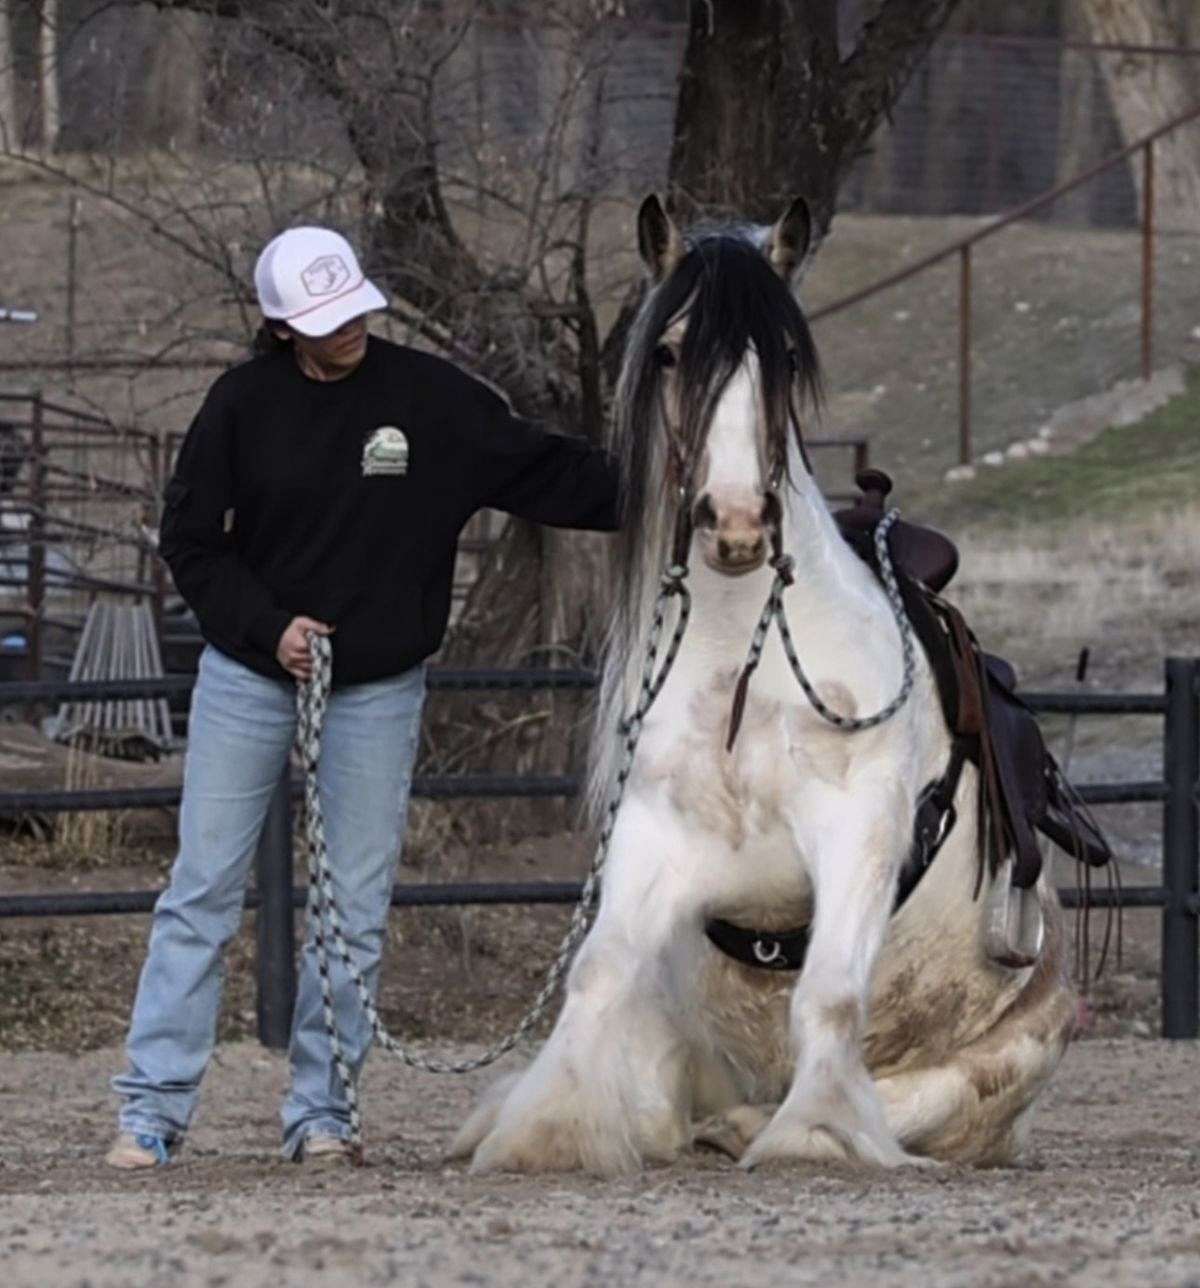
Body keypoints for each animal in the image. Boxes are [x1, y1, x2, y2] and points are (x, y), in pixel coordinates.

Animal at [451, 195, 1079, 1175]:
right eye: (670, 352)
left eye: (783, 356)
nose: (739, 523)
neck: (743, 663)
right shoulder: (657, 833)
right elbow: (597, 973)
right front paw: (545, 1132)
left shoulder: (860, 831)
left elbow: (827, 993)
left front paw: (815, 1133)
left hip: (973, 1086)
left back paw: (757, 1126)